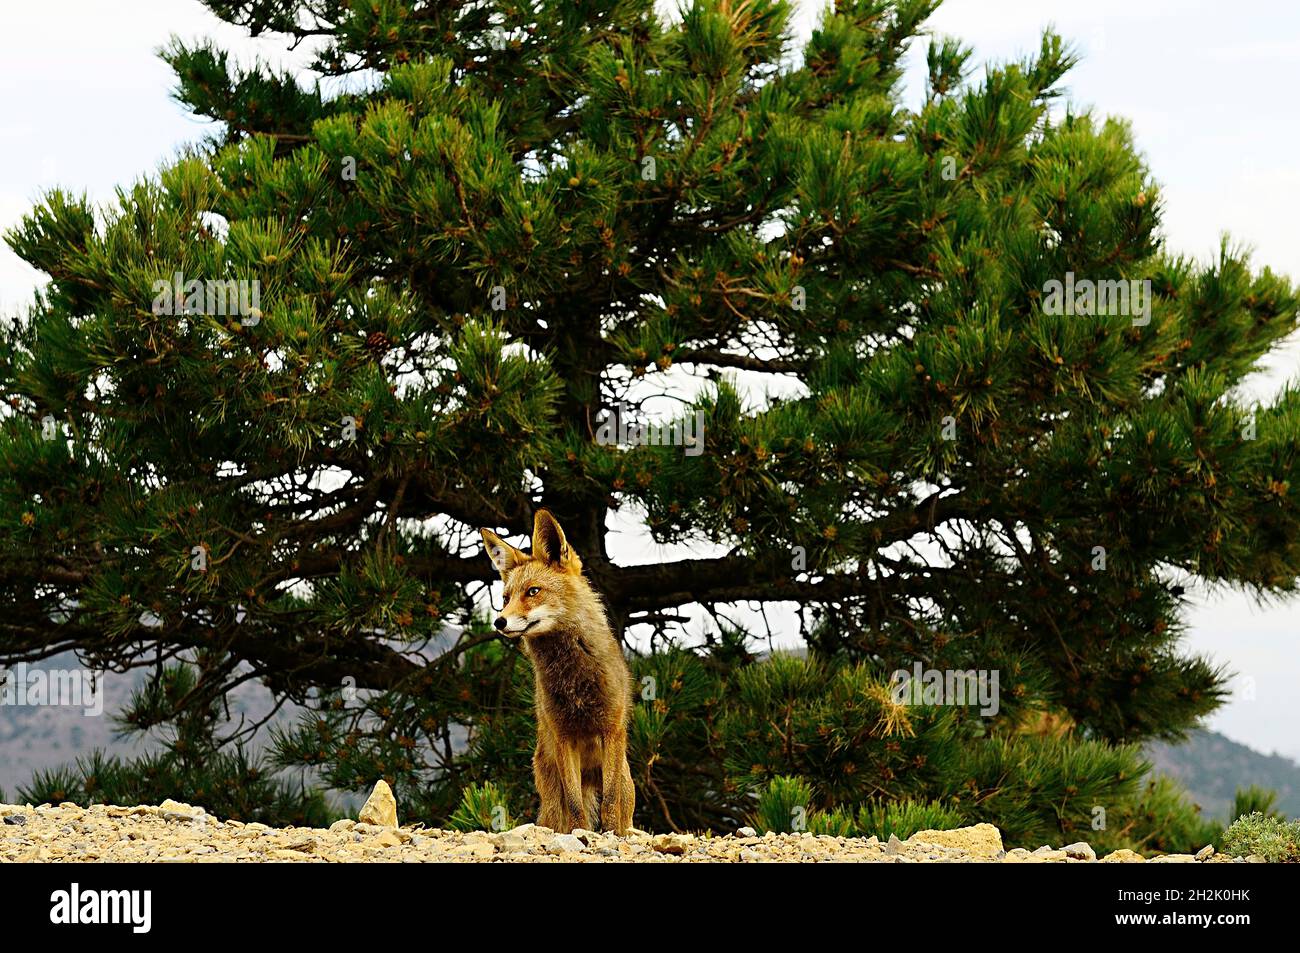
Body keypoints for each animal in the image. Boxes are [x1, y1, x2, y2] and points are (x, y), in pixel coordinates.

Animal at [480, 510, 636, 835]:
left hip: (623, 778)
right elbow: (575, 806)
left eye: (533, 592)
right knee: (558, 814)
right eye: (505, 598)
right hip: (550, 791)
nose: (499, 622)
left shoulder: (611, 730)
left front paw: (610, 834)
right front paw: (580, 834)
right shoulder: (564, 737)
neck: (574, 680)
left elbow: (610, 801)